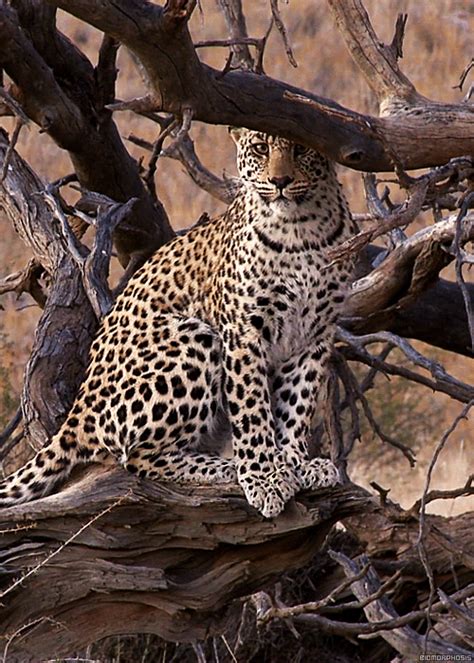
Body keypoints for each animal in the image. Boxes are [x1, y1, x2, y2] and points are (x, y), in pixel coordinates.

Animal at [0, 128, 357, 518]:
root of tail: (79, 411)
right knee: (138, 458)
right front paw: (265, 477)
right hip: (195, 337)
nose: (280, 181)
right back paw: (226, 468)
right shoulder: (244, 331)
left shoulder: (314, 337)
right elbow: (253, 409)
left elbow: (296, 405)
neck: (300, 227)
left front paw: (295, 463)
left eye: (302, 149)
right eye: (260, 149)